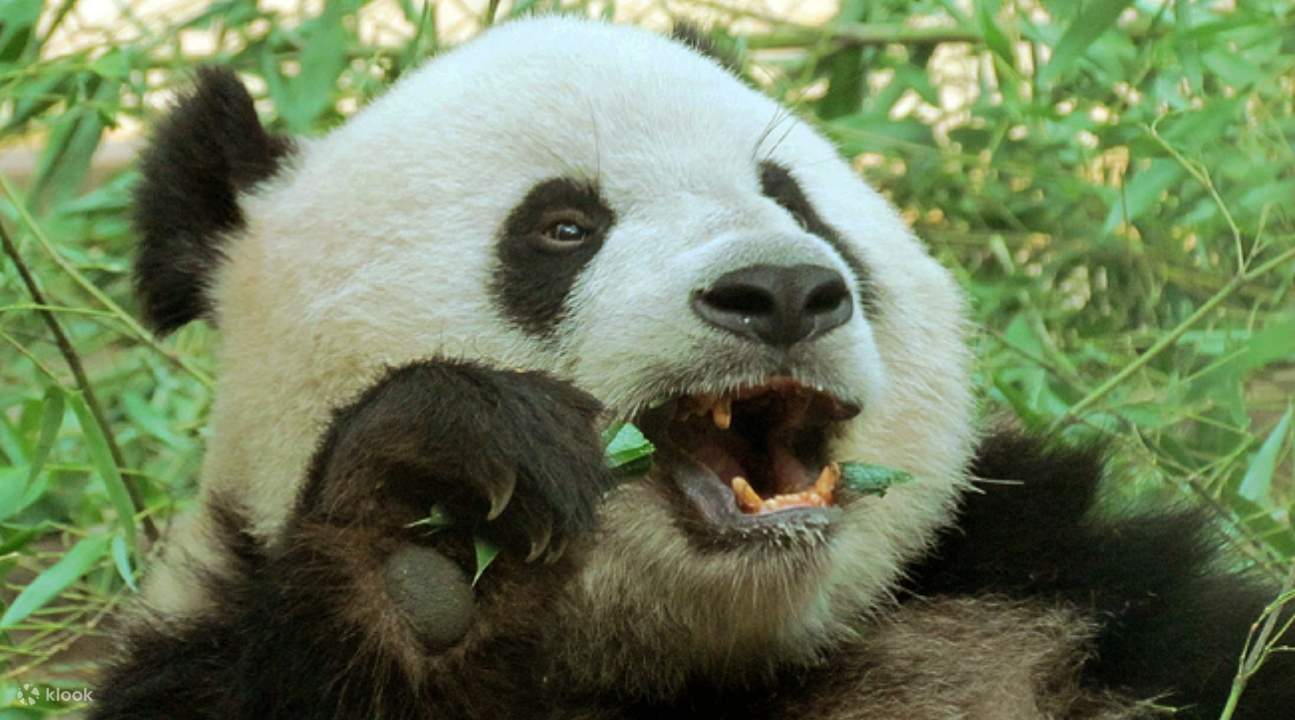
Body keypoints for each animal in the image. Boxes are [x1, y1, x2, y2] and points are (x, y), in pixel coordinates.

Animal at [90, 15, 1291, 720]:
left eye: (792, 199)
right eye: (562, 228)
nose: (782, 291)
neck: (701, 655)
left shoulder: (1063, 586)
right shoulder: (204, 641)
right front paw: (420, 539)